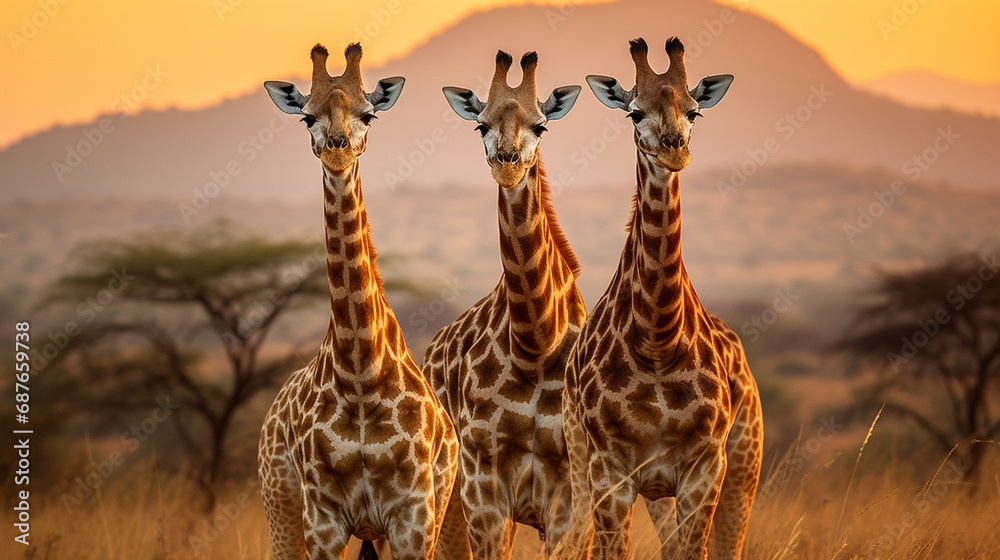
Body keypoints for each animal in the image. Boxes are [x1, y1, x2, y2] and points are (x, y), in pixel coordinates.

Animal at [258, 43, 459, 560]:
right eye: (306, 117)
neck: (361, 375)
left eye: (368, 114)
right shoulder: (322, 521)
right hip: (280, 508)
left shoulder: (414, 519)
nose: (337, 148)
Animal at [419, 50, 585, 560]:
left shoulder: (566, 489)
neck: (536, 342)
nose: (507, 163)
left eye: (541, 125)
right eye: (481, 125)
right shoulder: (482, 484)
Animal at [559, 37, 763, 560]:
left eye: (695, 111)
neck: (657, 340)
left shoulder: (705, 469)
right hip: (583, 468)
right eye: (634, 112)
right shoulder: (611, 473)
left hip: (743, 464)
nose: (675, 150)